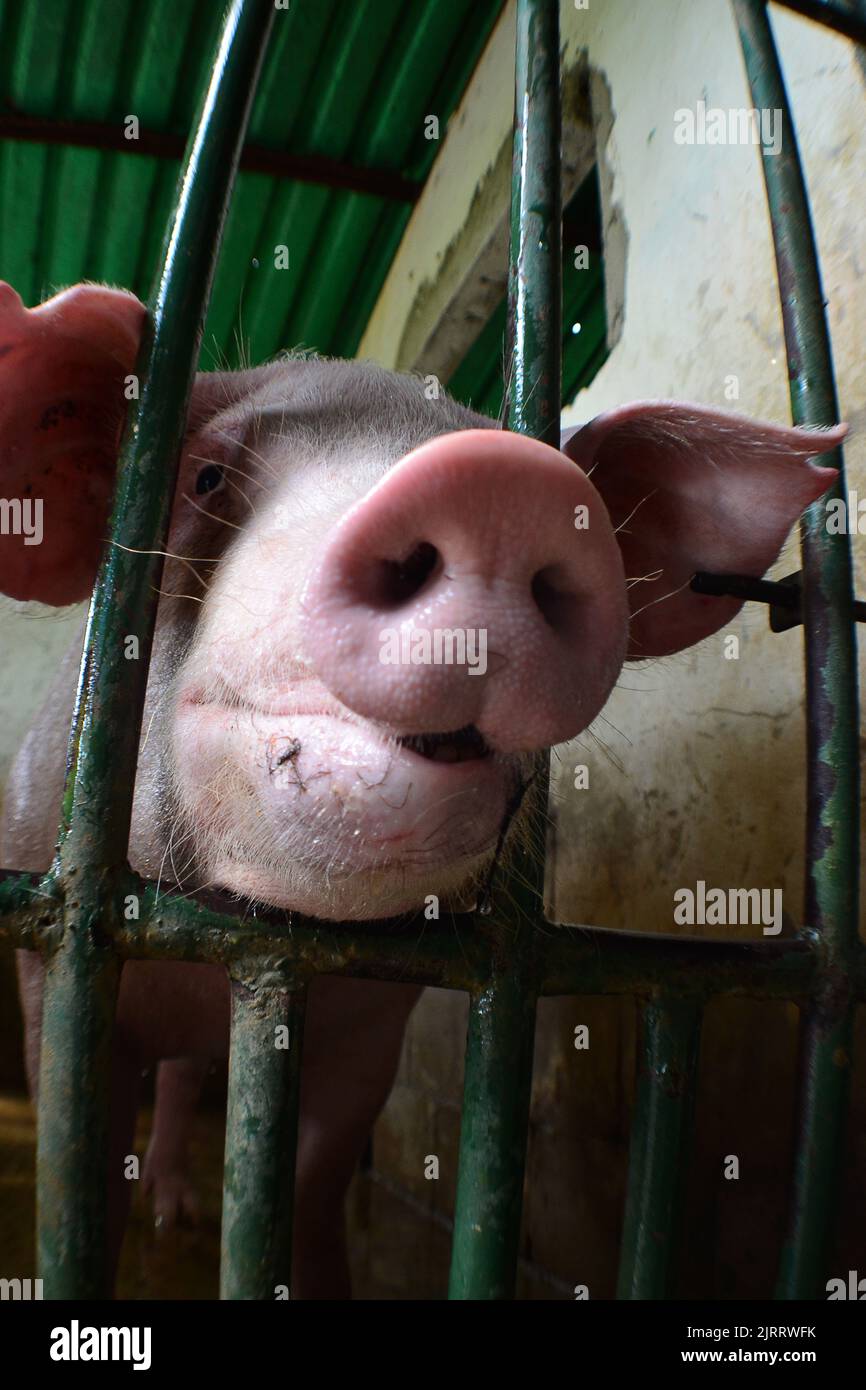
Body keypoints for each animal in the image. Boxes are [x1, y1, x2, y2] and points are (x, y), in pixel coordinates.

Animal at [0, 280, 845, 1297]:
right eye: (203, 479)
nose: (501, 484)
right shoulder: (52, 954)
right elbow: (78, 1167)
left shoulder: (375, 1022)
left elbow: (320, 1173)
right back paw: (176, 1213)